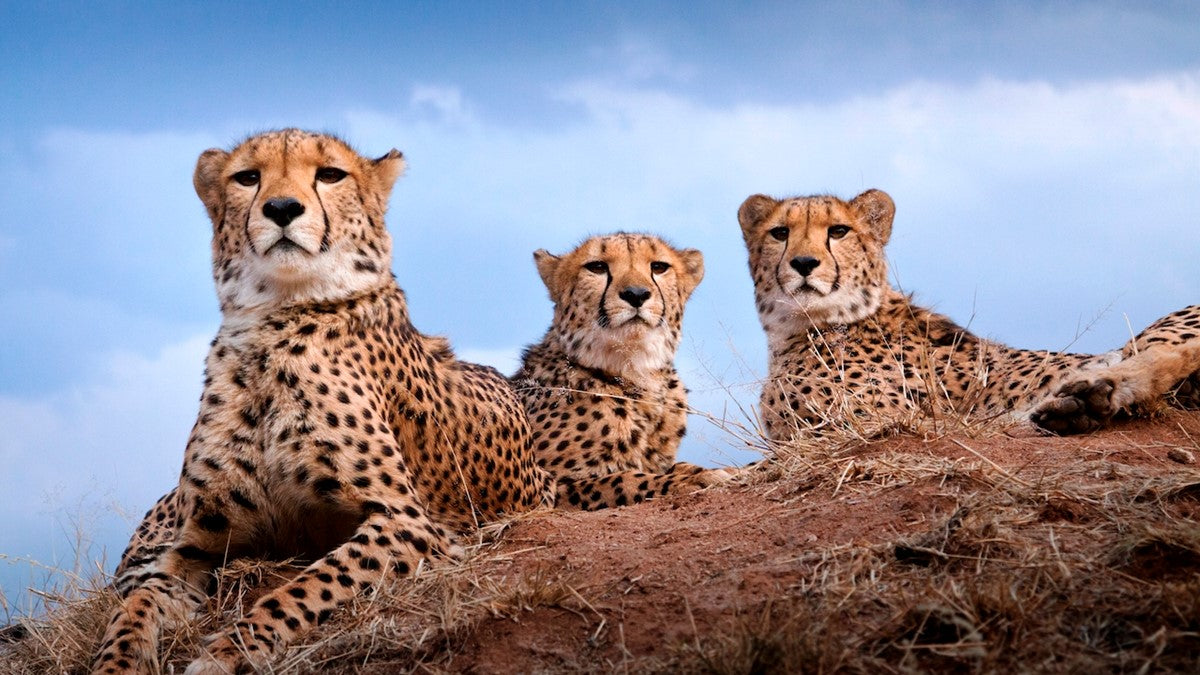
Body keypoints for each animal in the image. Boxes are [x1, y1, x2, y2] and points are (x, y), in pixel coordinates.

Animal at [92, 129, 552, 675]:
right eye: (247, 177)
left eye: (330, 174)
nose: (282, 208)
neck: (274, 317)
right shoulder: (194, 544)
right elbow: (133, 609)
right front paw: (118, 662)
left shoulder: (408, 523)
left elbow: (307, 587)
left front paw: (229, 651)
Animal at [510, 233, 732, 510]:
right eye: (597, 267)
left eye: (659, 266)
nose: (636, 294)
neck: (636, 372)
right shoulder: (544, 490)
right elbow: (623, 479)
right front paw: (697, 479)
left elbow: (673, 466)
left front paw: (721, 471)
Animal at [737, 188, 1200, 442]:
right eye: (780, 233)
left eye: (838, 231)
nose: (804, 263)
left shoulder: (873, 423)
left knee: (1161, 357)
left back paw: (1079, 396)